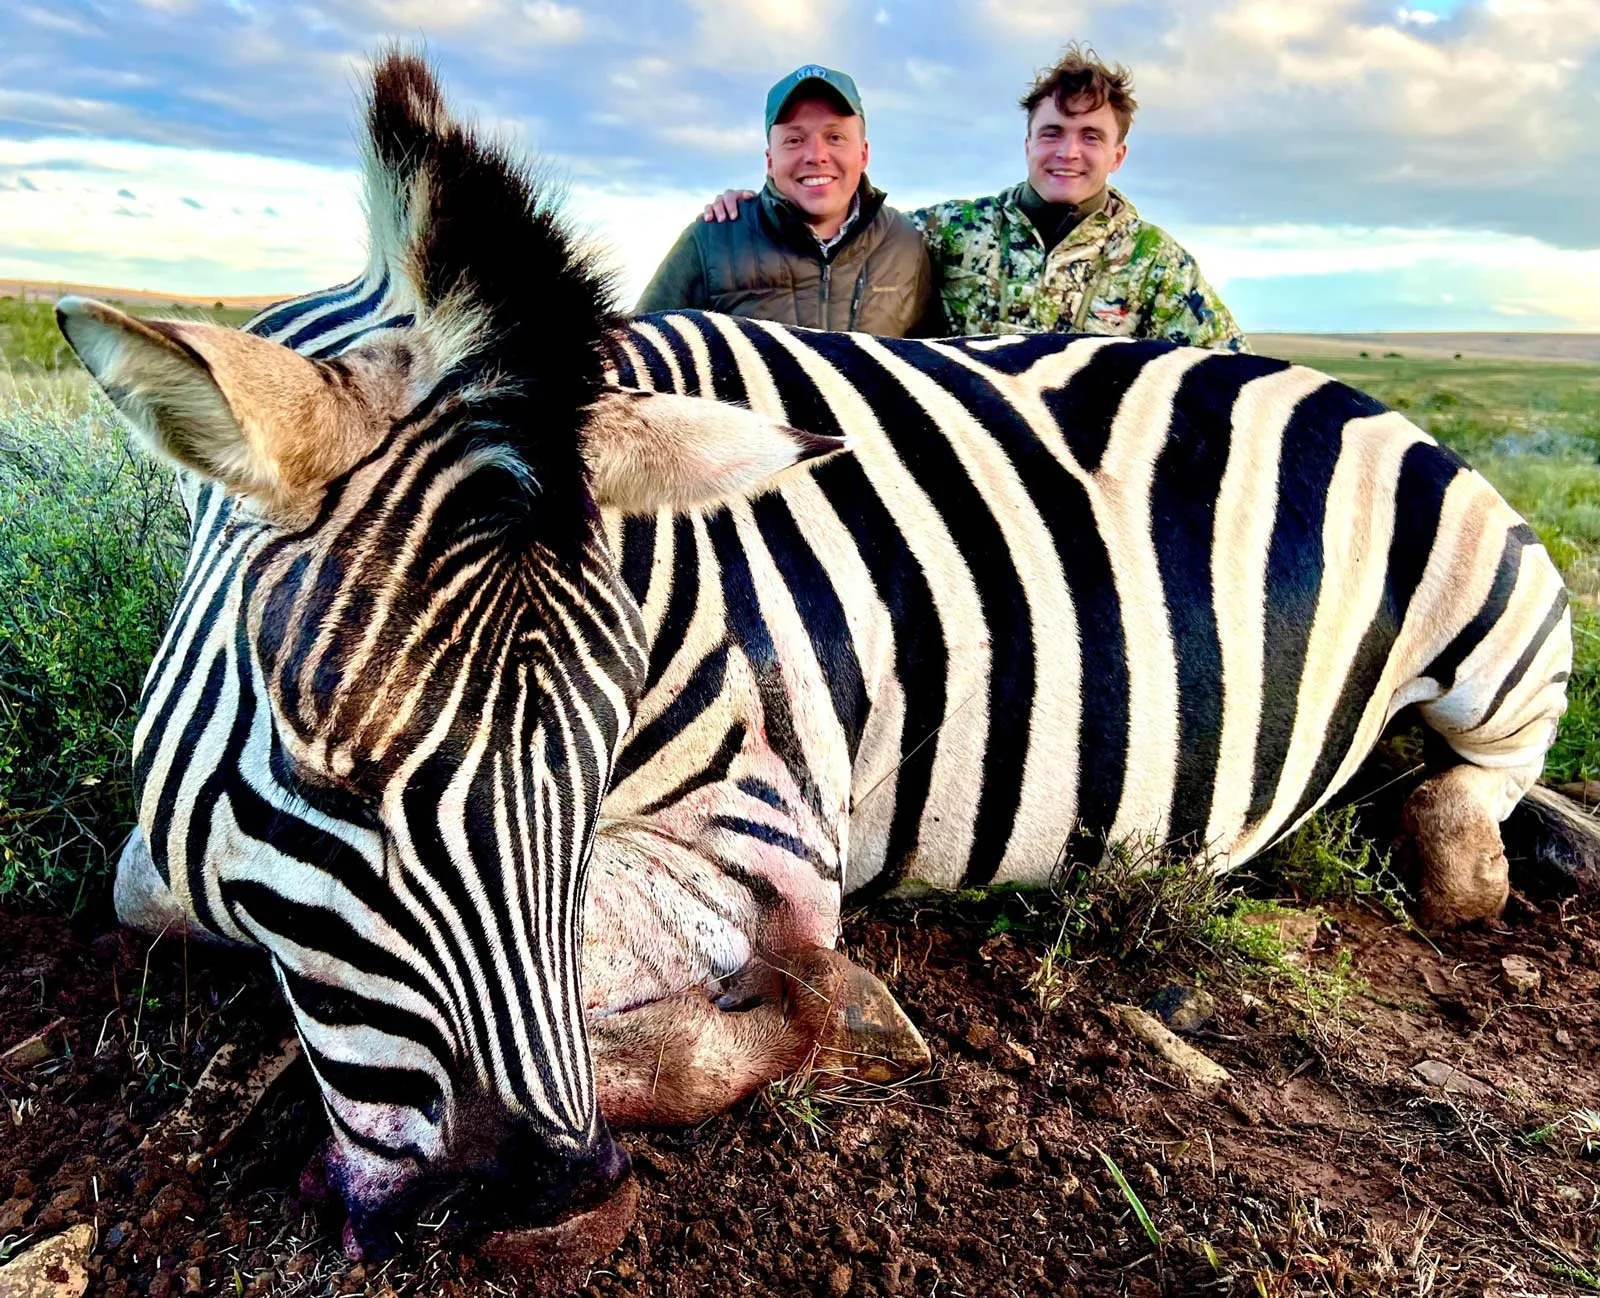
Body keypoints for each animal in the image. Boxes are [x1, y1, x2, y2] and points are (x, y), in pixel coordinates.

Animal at [56, 53, 1589, 1260]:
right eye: (319, 773)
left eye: (598, 757)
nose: (555, 1211)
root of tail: (1324, 376)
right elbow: (156, 885)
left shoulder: (766, 826)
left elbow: (701, 983)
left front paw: (819, 1009)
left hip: (1493, 609)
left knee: (1481, 779)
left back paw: (1483, 841)